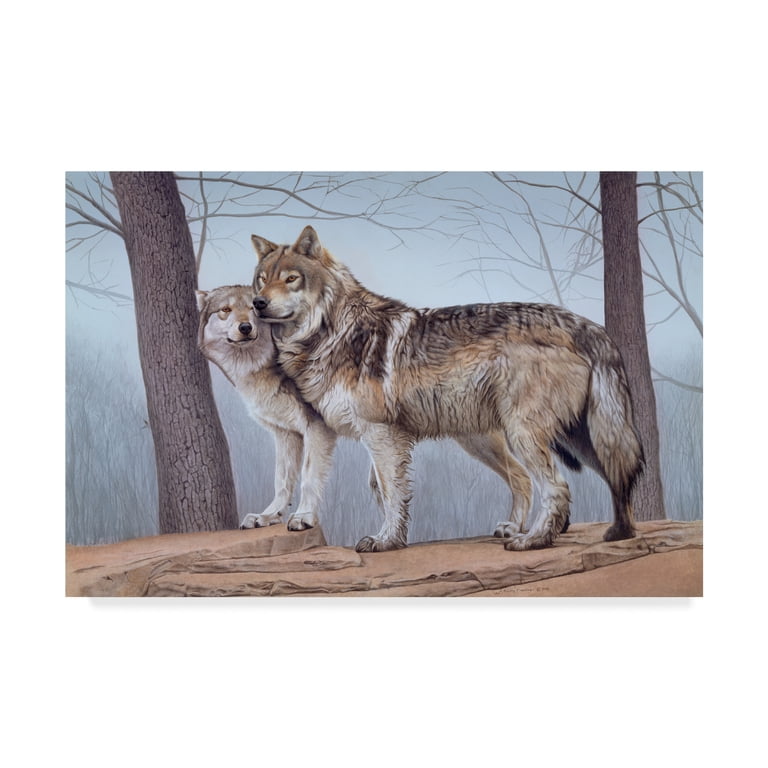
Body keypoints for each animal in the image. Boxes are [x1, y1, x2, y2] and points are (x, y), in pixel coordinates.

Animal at [196, 285, 338, 531]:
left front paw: (304, 517)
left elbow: (308, 478)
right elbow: (281, 480)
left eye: (253, 308)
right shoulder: (286, 433)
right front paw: (269, 516)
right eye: (226, 309)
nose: (245, 327)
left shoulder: (317, 427)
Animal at [251, 226, 644, 553]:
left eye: (291, 279)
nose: (258, 304)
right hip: (548, 440)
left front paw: (384, 541)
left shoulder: (381, 435)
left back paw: (532, 540)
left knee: (559, 487)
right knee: (602, 477)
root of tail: (584, 323)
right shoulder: (376, 438)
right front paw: (394, 538)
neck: (332, 331)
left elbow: (390, 493)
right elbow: (382, 491)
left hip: (526, 435)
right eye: (261, 281)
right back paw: (616, 534)